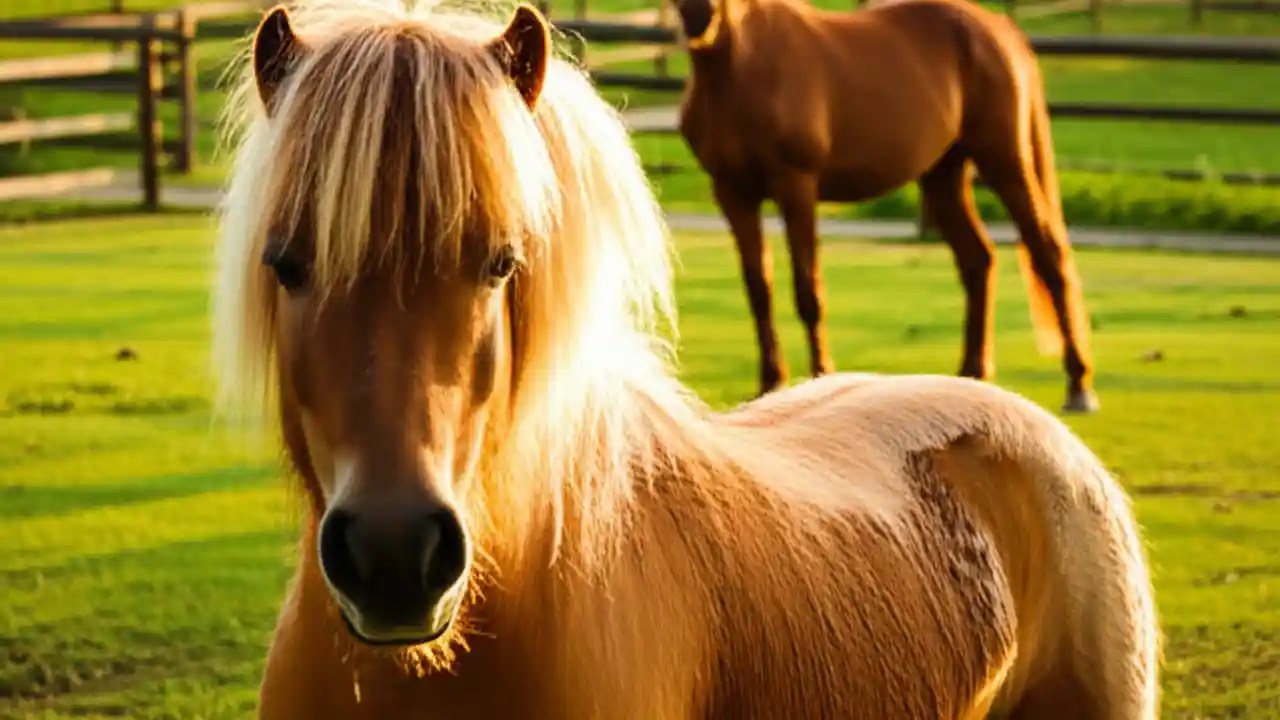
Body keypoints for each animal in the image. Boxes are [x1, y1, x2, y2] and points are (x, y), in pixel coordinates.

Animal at [672, 0, 1099, 413]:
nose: (698, 14)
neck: (741, 61)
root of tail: (999, 28)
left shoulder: (796, 188)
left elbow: (808, 292)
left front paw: (820, 375)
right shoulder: (732, 193)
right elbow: (758, 290)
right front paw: (770, 383)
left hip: (1004, 160)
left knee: (1047, 254)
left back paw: (1078, 385)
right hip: (943, 175)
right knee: (977, 260)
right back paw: (971, 373)